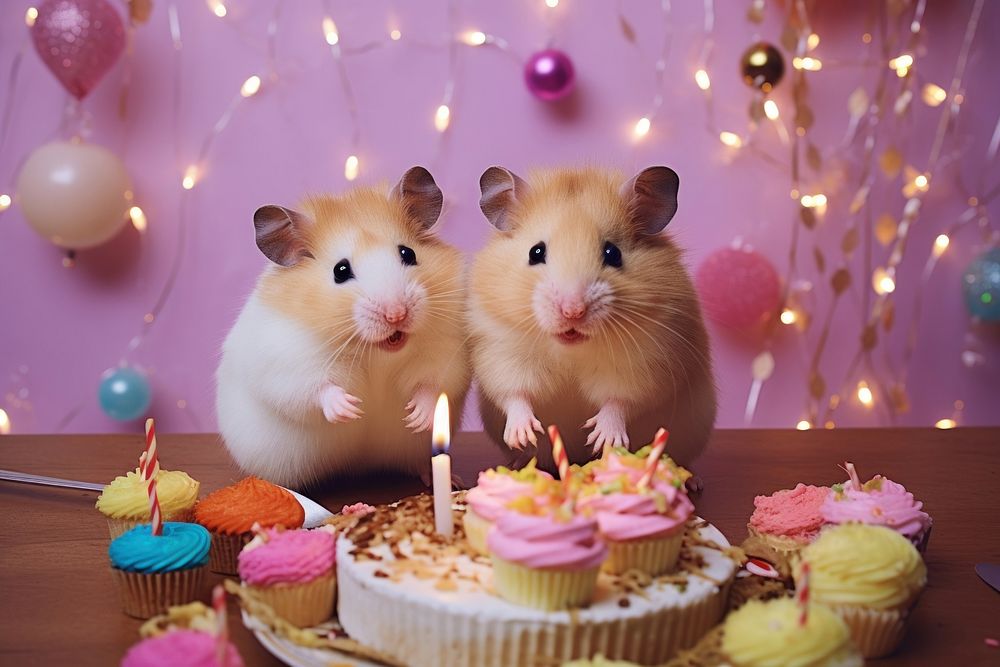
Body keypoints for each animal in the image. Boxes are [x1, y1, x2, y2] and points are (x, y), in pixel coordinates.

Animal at [216, 166, 469, 487]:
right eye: (340, 271)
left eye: (408, 254)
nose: (396, 315)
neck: (376, 353)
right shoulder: (289, 362)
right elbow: (317, 389)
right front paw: (349, 409)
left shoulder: (445, 349)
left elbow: (432, 383)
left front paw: (416, 416)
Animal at [469, 165, 716, 469]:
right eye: (535, 252)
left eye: (613, 253)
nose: (572, 311)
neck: (572, 350)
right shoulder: (501, 350)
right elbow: (515, 394)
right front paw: (522, 435)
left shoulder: (644, 362)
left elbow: (619, 401)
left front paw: (603, 440)